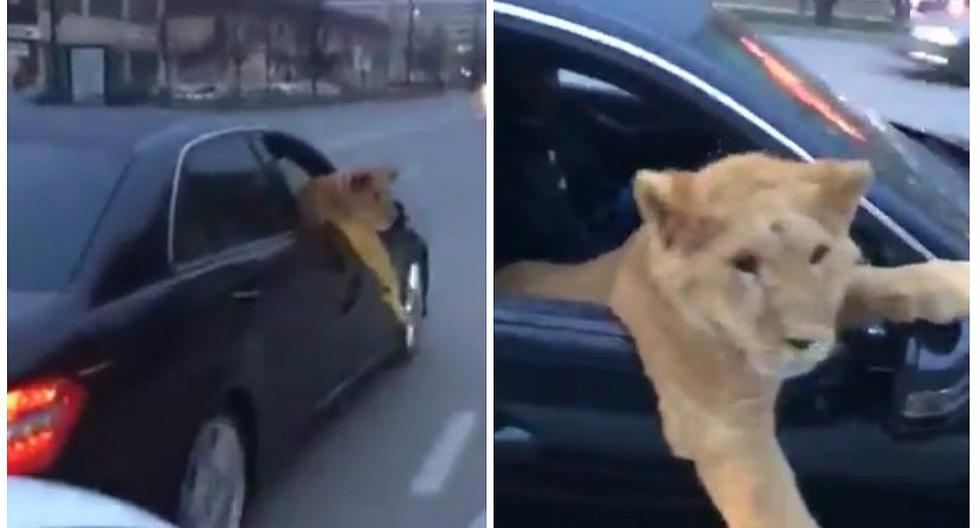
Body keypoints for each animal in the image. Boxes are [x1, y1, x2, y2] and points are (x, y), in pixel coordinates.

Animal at [496, 153, 969, 528]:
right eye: (744, 264)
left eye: (817, 255)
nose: (807, 342)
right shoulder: (724, 430)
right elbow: (776, 513)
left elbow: (868, 280)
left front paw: (957, 279)